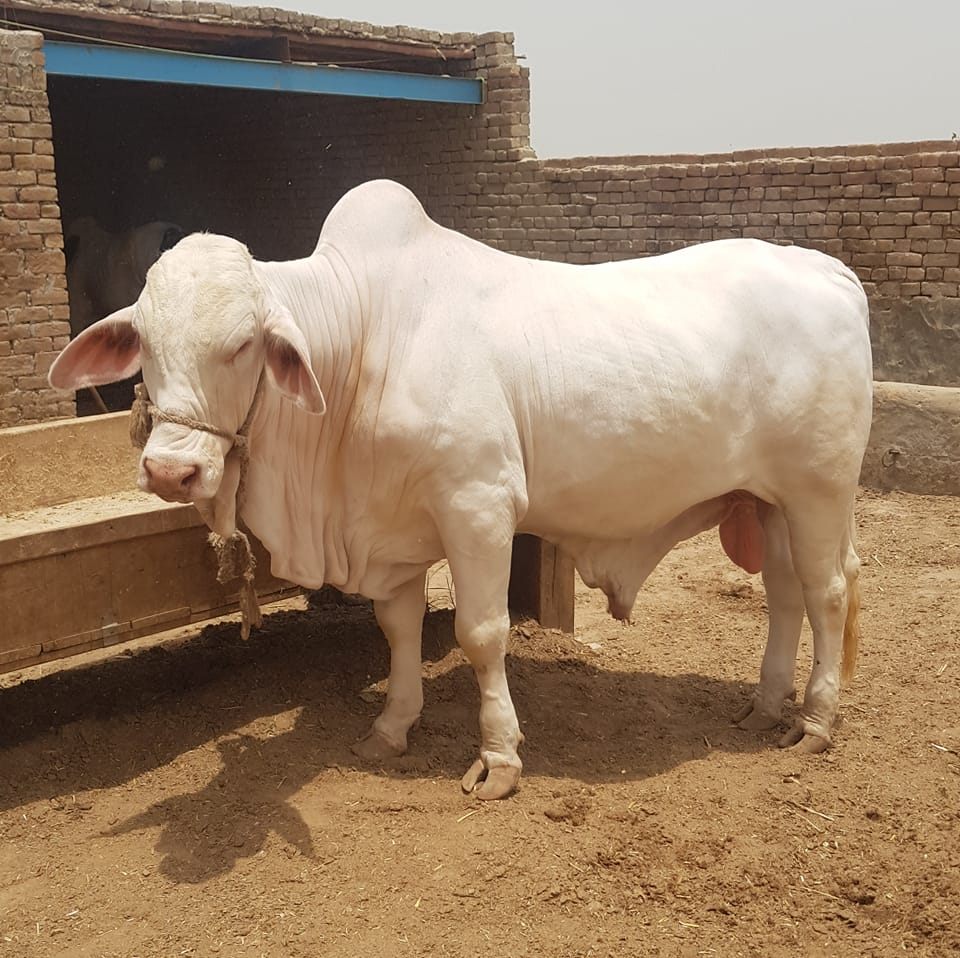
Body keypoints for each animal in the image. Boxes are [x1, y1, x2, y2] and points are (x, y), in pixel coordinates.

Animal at [49, 179, 873, 800]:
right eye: (144, 343)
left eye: (243, 344)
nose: (171, 471)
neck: (365, 340)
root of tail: (829, 273)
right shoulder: (390, 525)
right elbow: (398, 626)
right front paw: (391, 726)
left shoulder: (477, 505)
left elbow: (480, 634)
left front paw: (499, 758)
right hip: (765, 501)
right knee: (784, 594)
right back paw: (763, 708)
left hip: (819, 491)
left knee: (829, 591)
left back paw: (817, 723)